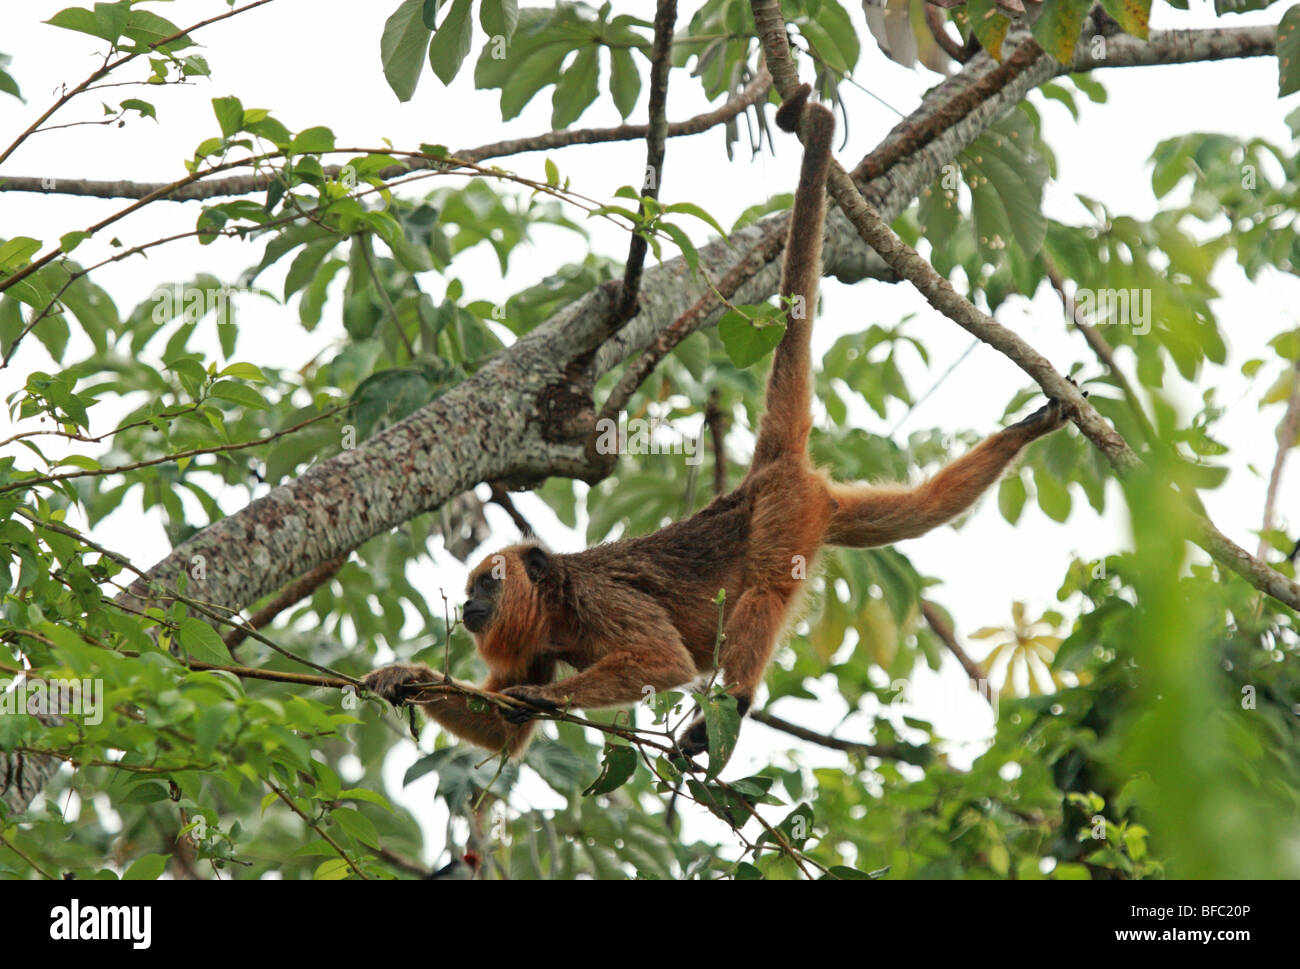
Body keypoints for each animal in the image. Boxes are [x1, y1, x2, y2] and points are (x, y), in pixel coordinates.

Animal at [362, 84, 1077, 760]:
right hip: (816, 506)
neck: (559, 606)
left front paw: (545, 697)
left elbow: (663, 661)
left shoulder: (602, 601)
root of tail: (761, 478)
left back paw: (730, 699)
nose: (471, 607)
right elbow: (503, 733)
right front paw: (406, 676)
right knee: (915, 512)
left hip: (780, 516)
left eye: (488, 581)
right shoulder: (539, 639)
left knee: (763, 589)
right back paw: (1024, 431)